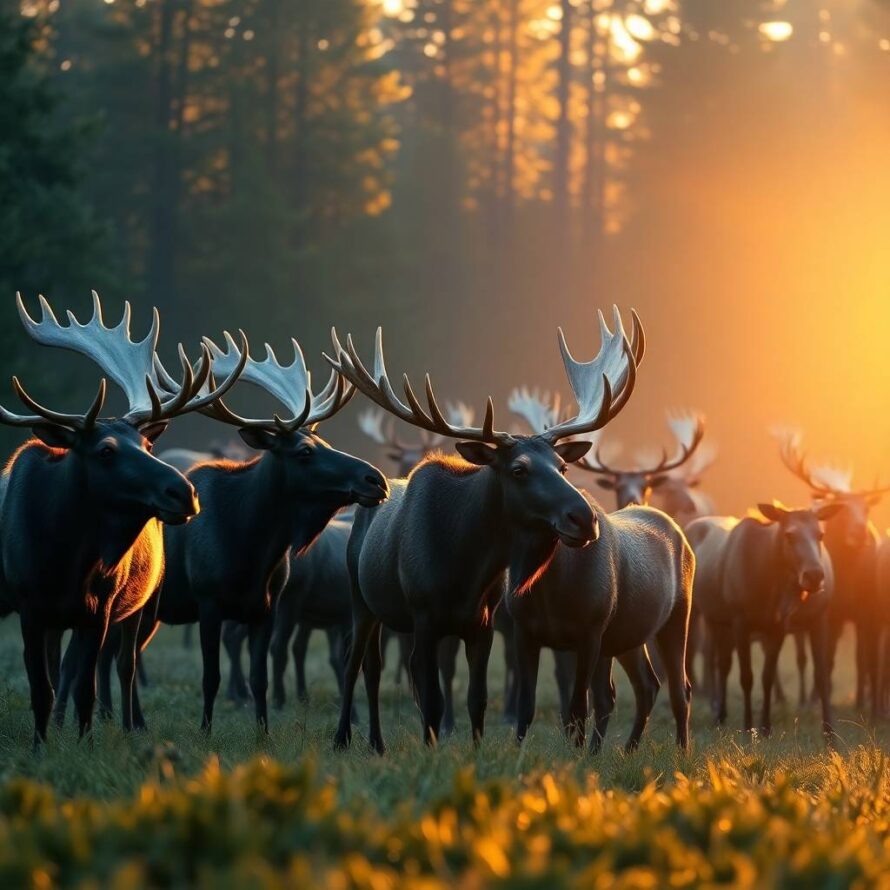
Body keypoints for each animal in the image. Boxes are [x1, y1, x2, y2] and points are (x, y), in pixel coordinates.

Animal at [0, 293, 244, 746]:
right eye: (106, 450)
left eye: (147, 444)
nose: (185, 492)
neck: (64, 558)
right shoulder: (29, 606)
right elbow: (41, 687)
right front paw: (41, 745)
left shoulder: (100, 608)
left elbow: (86, 686)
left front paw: (85, 743)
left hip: (138, 607)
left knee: (124, 665)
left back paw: (130, 725)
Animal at [140, 331, 389, 733]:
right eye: (304, 452)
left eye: (327, 444)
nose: (375, 479)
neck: (252, 548)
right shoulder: (208, 601)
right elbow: (210, 677)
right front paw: (206, 731)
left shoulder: (266, 608)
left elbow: (261, 678)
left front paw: (263, 733)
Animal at [323, 307, 644, 751]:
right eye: (518, 469)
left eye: (562, 467)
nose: (584, 518)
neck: (465, 566)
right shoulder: (425, 617)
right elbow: (435, 698)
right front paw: (431, 750)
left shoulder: (483, 623)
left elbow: (477, 699)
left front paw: (473, 750)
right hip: (361, 599)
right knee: (358, 665)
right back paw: (348, 739)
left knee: (381, 669)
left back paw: (376, 741)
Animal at [506, 388, 694, 751]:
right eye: (518, 471)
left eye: (562, 467)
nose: (581, 520)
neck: (549, 590)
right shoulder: (524, 632)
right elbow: (528, 704)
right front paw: (518, 752)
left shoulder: (590, 632)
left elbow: (581, 705)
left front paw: (578, 755)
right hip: (628, 634)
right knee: (646, 685)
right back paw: (627, 749)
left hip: (677, 616)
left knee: (680, 689)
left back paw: (681, 751)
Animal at [775, 430, 888, 717]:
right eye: (842, 507)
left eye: (866, 508)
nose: (860, 534)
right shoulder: (831, 613)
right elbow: (827, 659)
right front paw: (814, 700)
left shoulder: (866, 612)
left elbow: (863, 659)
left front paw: (865, 705)